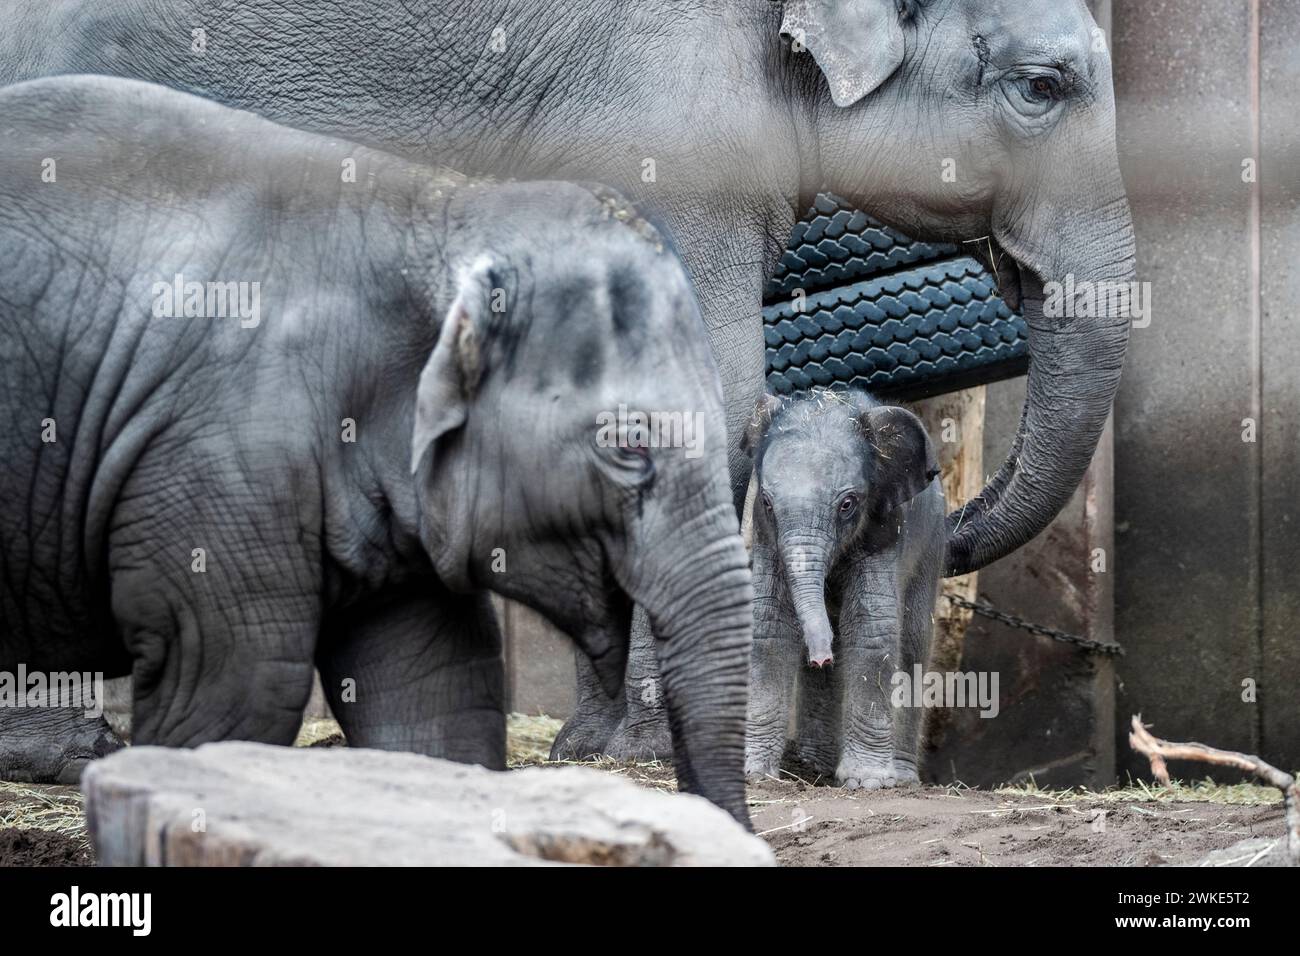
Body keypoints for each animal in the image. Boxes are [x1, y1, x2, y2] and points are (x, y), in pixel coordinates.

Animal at [740, 390, 945, 790]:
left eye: (847, 505)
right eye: (769, 503)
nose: (821, 656)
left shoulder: (886, 528)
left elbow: (870, 627)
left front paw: (867, 782)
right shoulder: (764, 532)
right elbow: (770, 624)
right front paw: (753, 773)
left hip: (932, 544)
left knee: (913, 643)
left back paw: (901, 777)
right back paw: (813, 766)